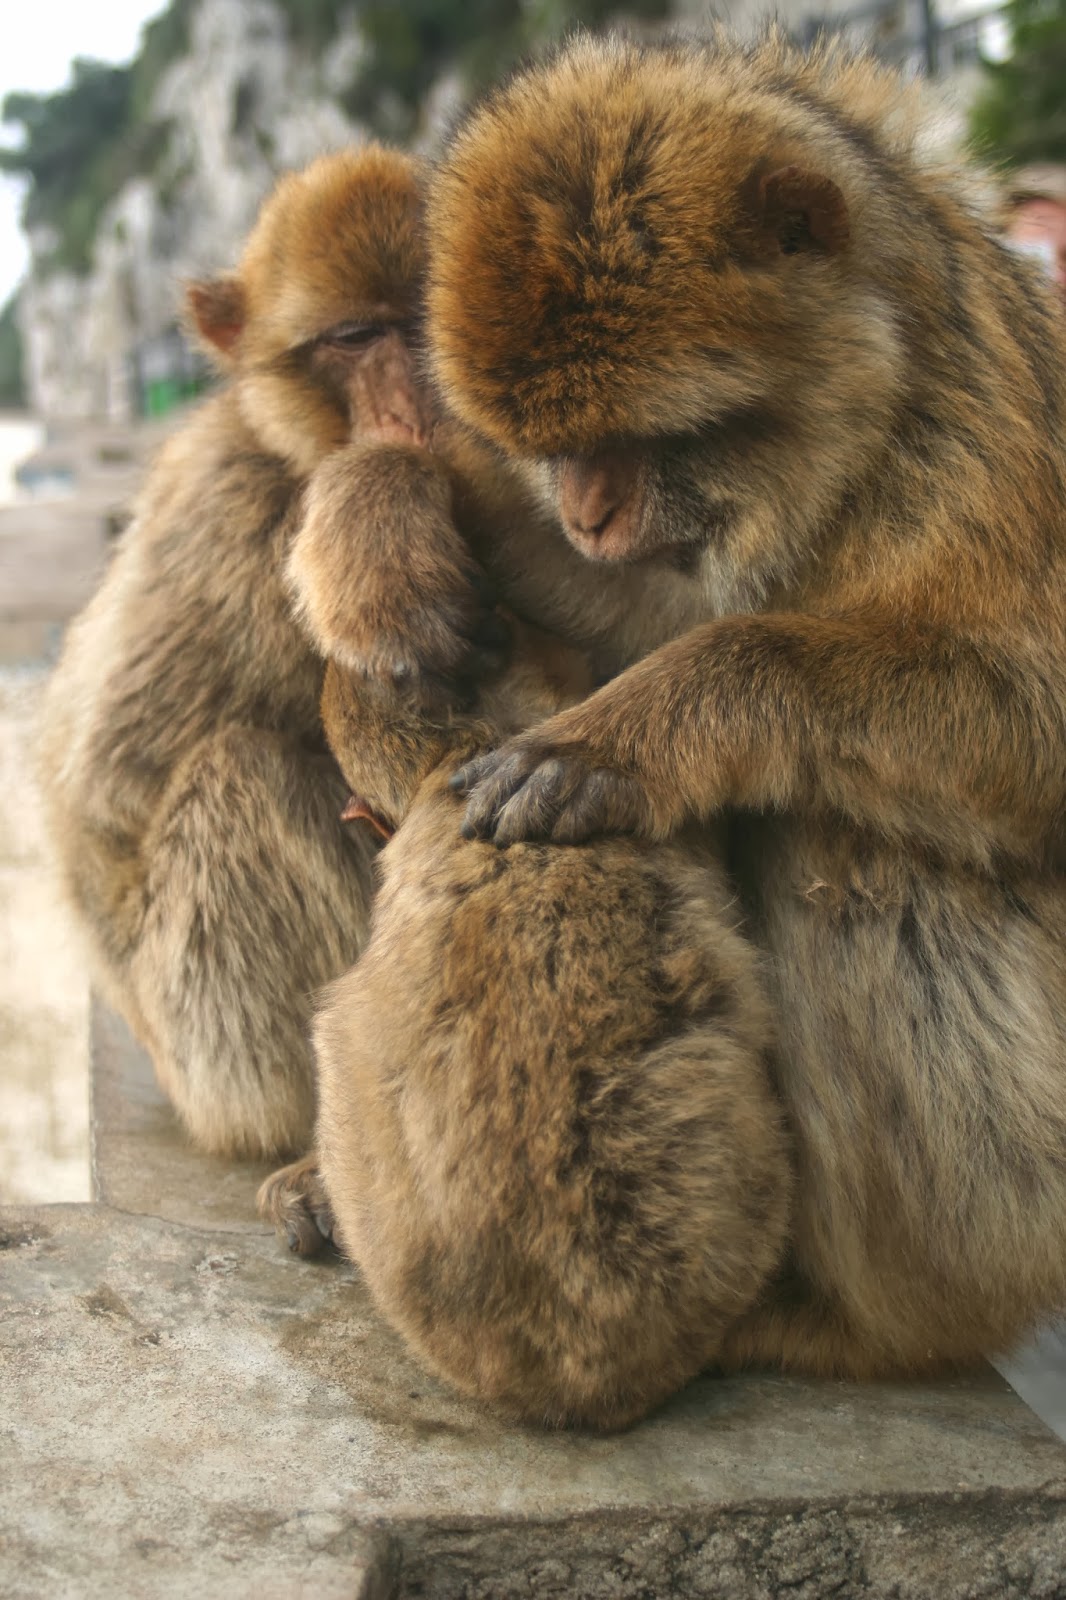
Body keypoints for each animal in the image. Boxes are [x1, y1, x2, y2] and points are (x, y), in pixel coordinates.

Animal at [422, 30, 1066, 1380]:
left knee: (858, 853)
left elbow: (1027, 724)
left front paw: (642, 725)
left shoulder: (975, 452)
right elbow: (627, 604)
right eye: (550, 447)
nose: (586, 512)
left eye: (644, 432)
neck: (870, 430)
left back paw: (850, 1318)